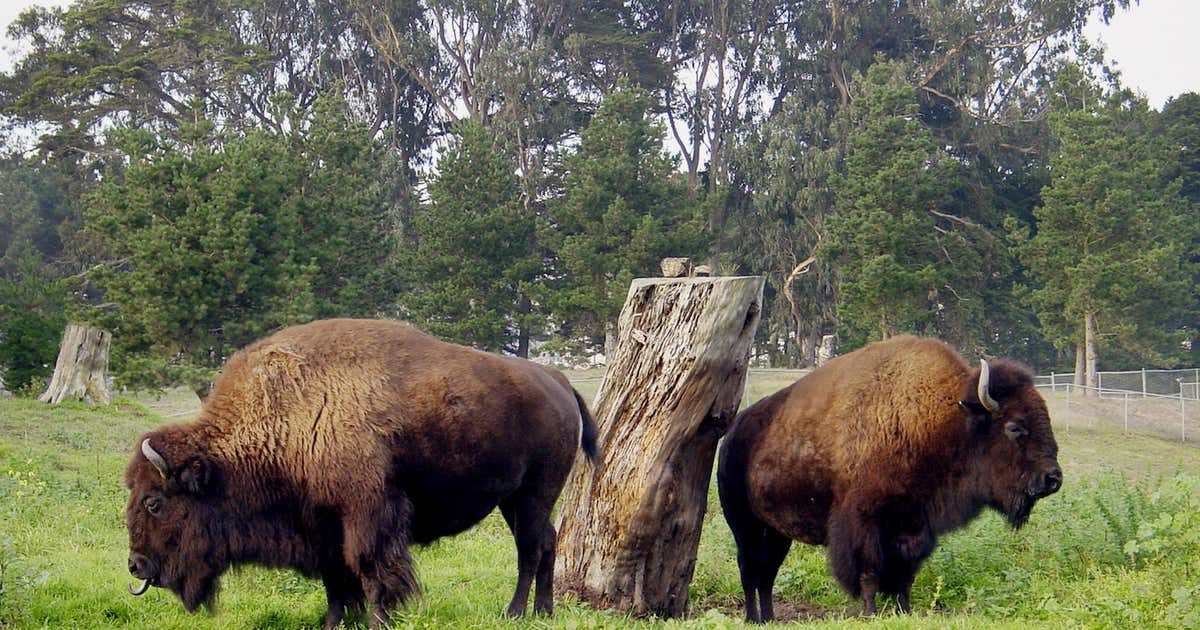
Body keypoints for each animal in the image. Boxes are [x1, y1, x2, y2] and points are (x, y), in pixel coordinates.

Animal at [125, 318, 598, 629]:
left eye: (154, 502)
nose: (135, 565)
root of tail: (555, 378)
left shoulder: (368, 513)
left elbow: (370, 569)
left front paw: (378, 621)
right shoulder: (319, 526)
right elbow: (335, 578)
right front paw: (333, 623)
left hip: (534, 492)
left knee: (530, 548)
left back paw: (514, 612)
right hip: (515, 499)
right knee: (548, 541)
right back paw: (544, 612)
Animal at [717, 336, 1061, 621]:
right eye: (1015, 427)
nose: (1053, 479)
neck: (944, 421)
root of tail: (734, 434)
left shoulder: (915, 526)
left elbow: (904, 575)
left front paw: (904, 610)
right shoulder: (865, 523)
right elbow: (870, 572)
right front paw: (870, 612)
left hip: (777, 532)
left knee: (767, 573)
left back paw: (769, 618)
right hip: (744, 525)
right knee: (749, 569)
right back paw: (752, 618)